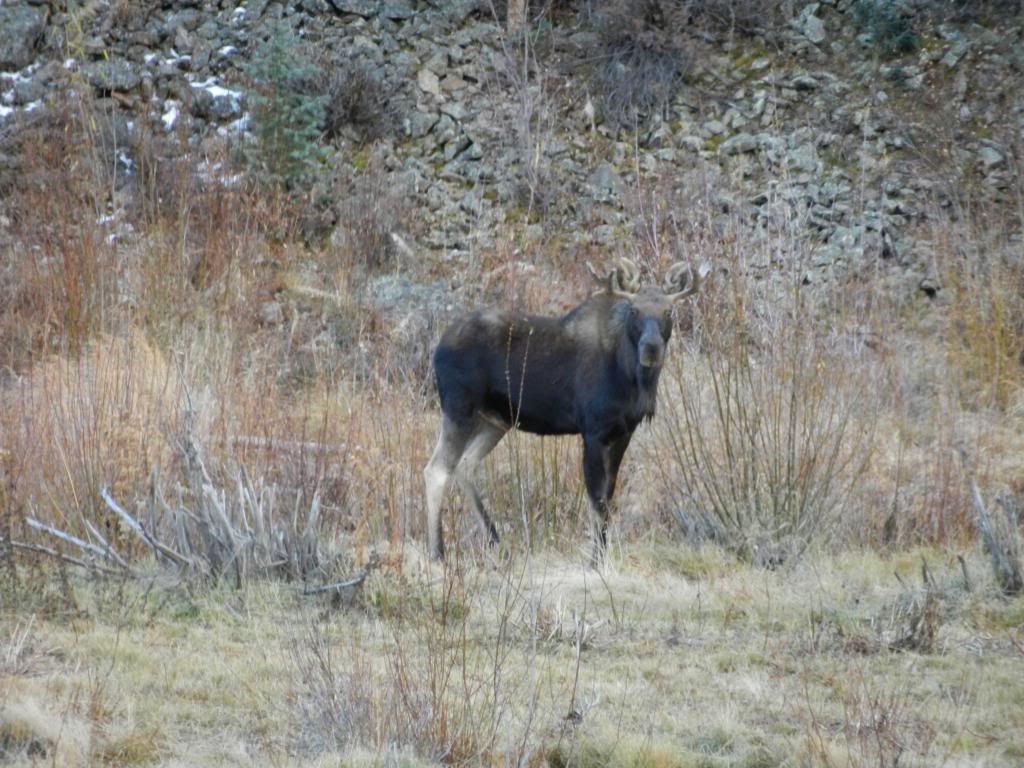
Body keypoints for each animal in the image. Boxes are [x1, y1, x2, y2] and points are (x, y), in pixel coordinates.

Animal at [423, 257, 708, 564]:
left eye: (669, 310)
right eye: (635, 310)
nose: (651, 348)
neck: (633, 379)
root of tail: (437, 350)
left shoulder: (624, 432)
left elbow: (609, 495)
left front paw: (601, 555)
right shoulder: (593, 431)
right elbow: (596, 501)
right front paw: (595, 561)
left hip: (495, 422)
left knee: (465, 465)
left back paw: (496, 542)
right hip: (459, 409)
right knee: (436, 469)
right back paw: (437, 553)